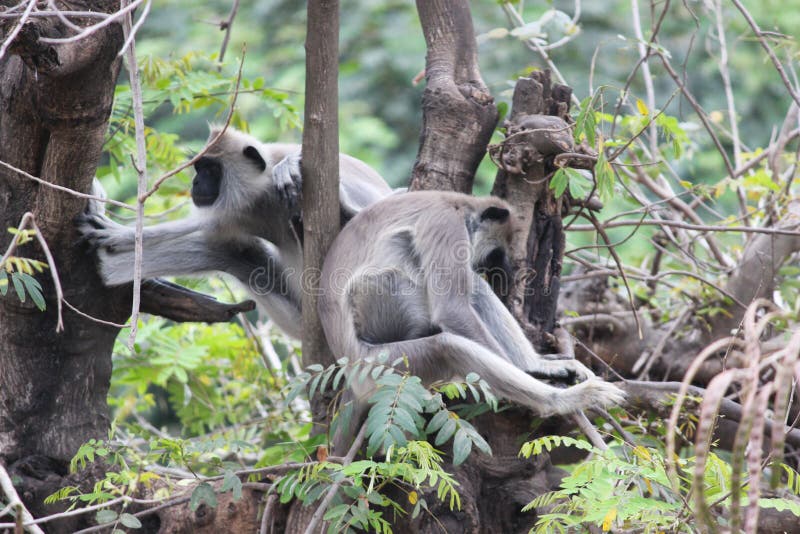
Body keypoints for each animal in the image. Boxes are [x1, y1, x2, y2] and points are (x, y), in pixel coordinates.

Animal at [79, 127, 394, 338]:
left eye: (210, 170)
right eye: (198, 168)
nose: (195, 183)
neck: (265, 196)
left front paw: (292, 167)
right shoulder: (239, 212)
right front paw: (118, 234)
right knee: (232, 253)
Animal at [319, 191, 626, 446]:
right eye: (496, 253)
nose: (501, 268)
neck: (457, 204)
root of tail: (350, 367)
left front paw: (534, 368)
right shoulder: (445, 222)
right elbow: (452, 309)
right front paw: (527, 375)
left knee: (473, 286)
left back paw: (535, 365)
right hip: (383, 360)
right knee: (446, 344)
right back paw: (560, 400)